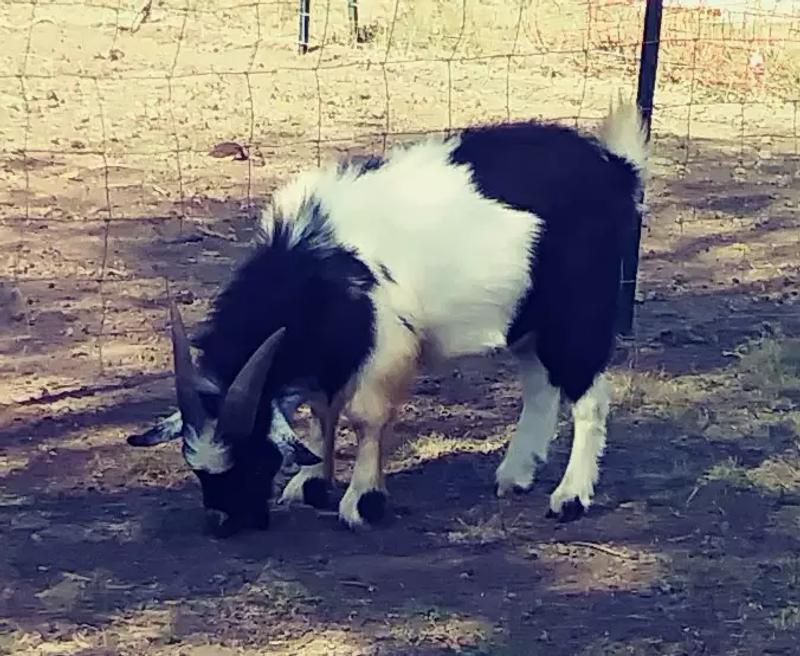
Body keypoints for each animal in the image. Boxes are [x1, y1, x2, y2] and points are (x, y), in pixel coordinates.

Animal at [130, 97, 648, 538]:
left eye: (257, 459)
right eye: (195, 466)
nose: (224, 524)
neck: (314, 261)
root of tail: (617, 170)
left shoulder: (383, 345)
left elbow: (365, 416)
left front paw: (362, 502)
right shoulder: (335, 346)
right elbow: (322, 409)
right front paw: (312, 481)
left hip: (577, 314)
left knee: (589, 397)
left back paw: (570, 497)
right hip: (527, 319)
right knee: (540, 387)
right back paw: (515, 475)